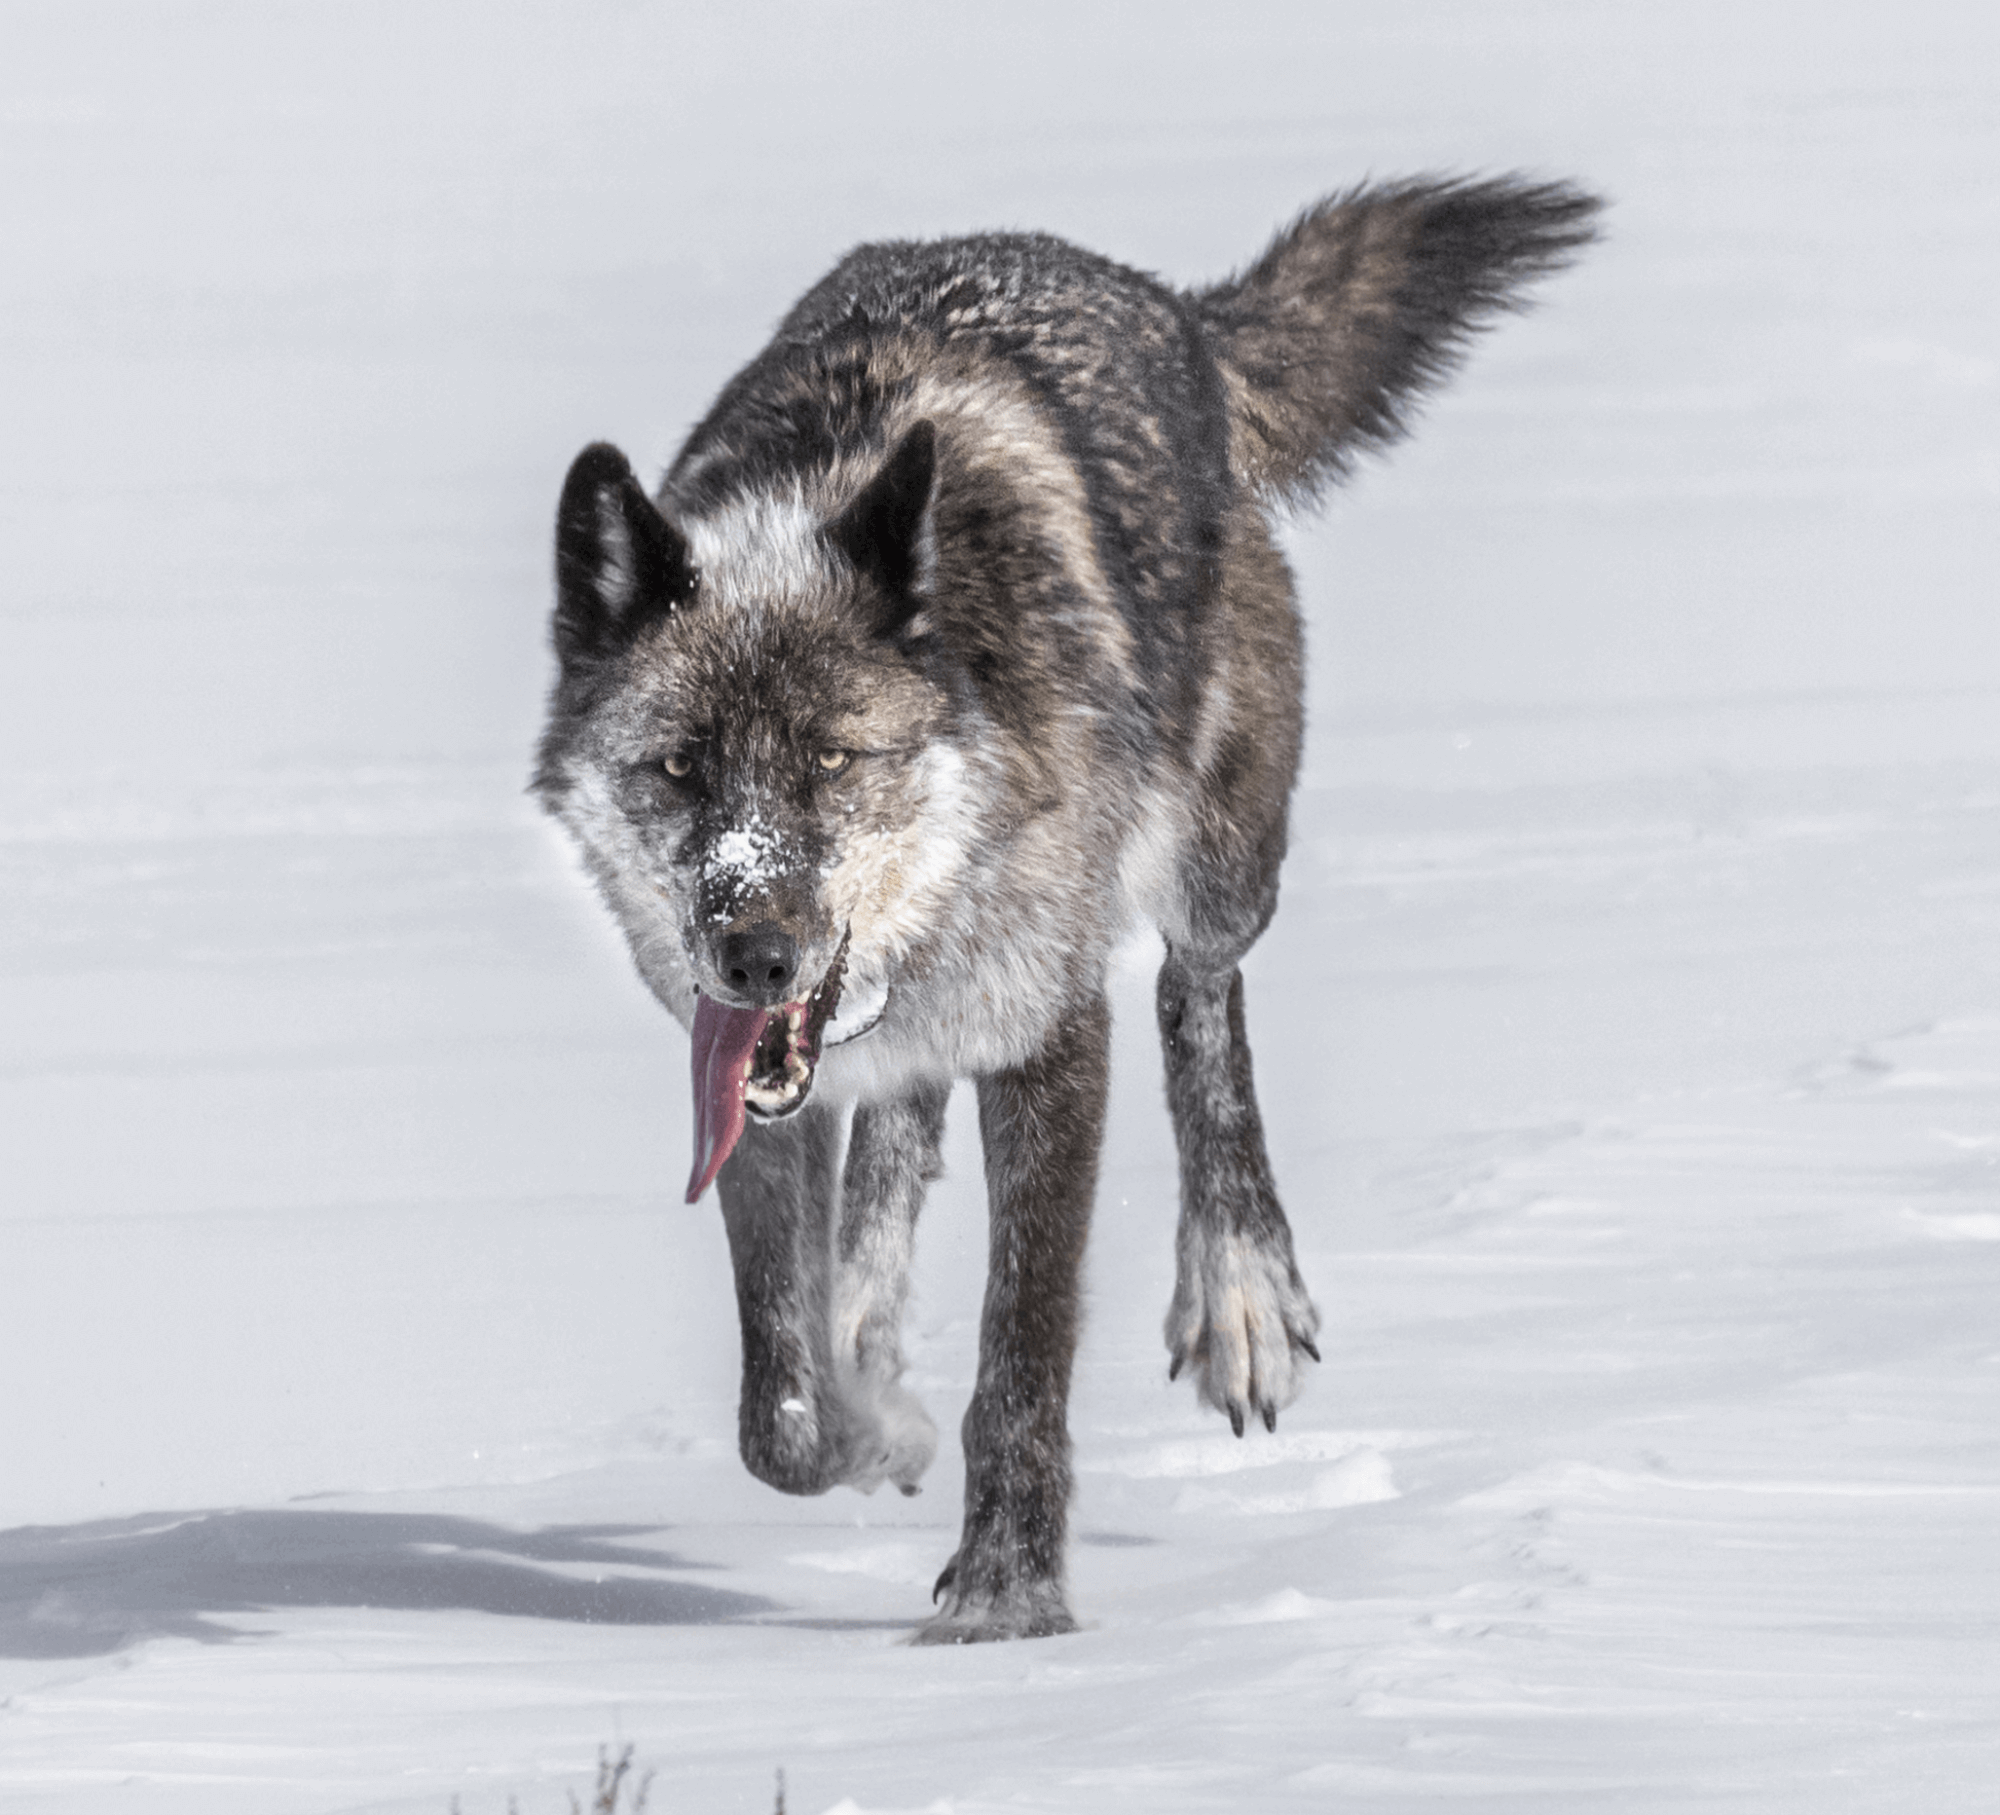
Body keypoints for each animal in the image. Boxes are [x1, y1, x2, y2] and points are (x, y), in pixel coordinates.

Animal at [534, 177, 1598, 1642]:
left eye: (833, 760)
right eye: (681, 767)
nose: (756, 954)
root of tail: (1172, 309)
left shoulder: (1048, 1038)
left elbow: (1021, 1348)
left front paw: (1006, 1596)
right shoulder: (746, 1078)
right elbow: (779, 1409)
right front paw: (874, 1420)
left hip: (1218, 862)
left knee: (1196, 999)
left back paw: (1238, 1294)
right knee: (900, 1136)